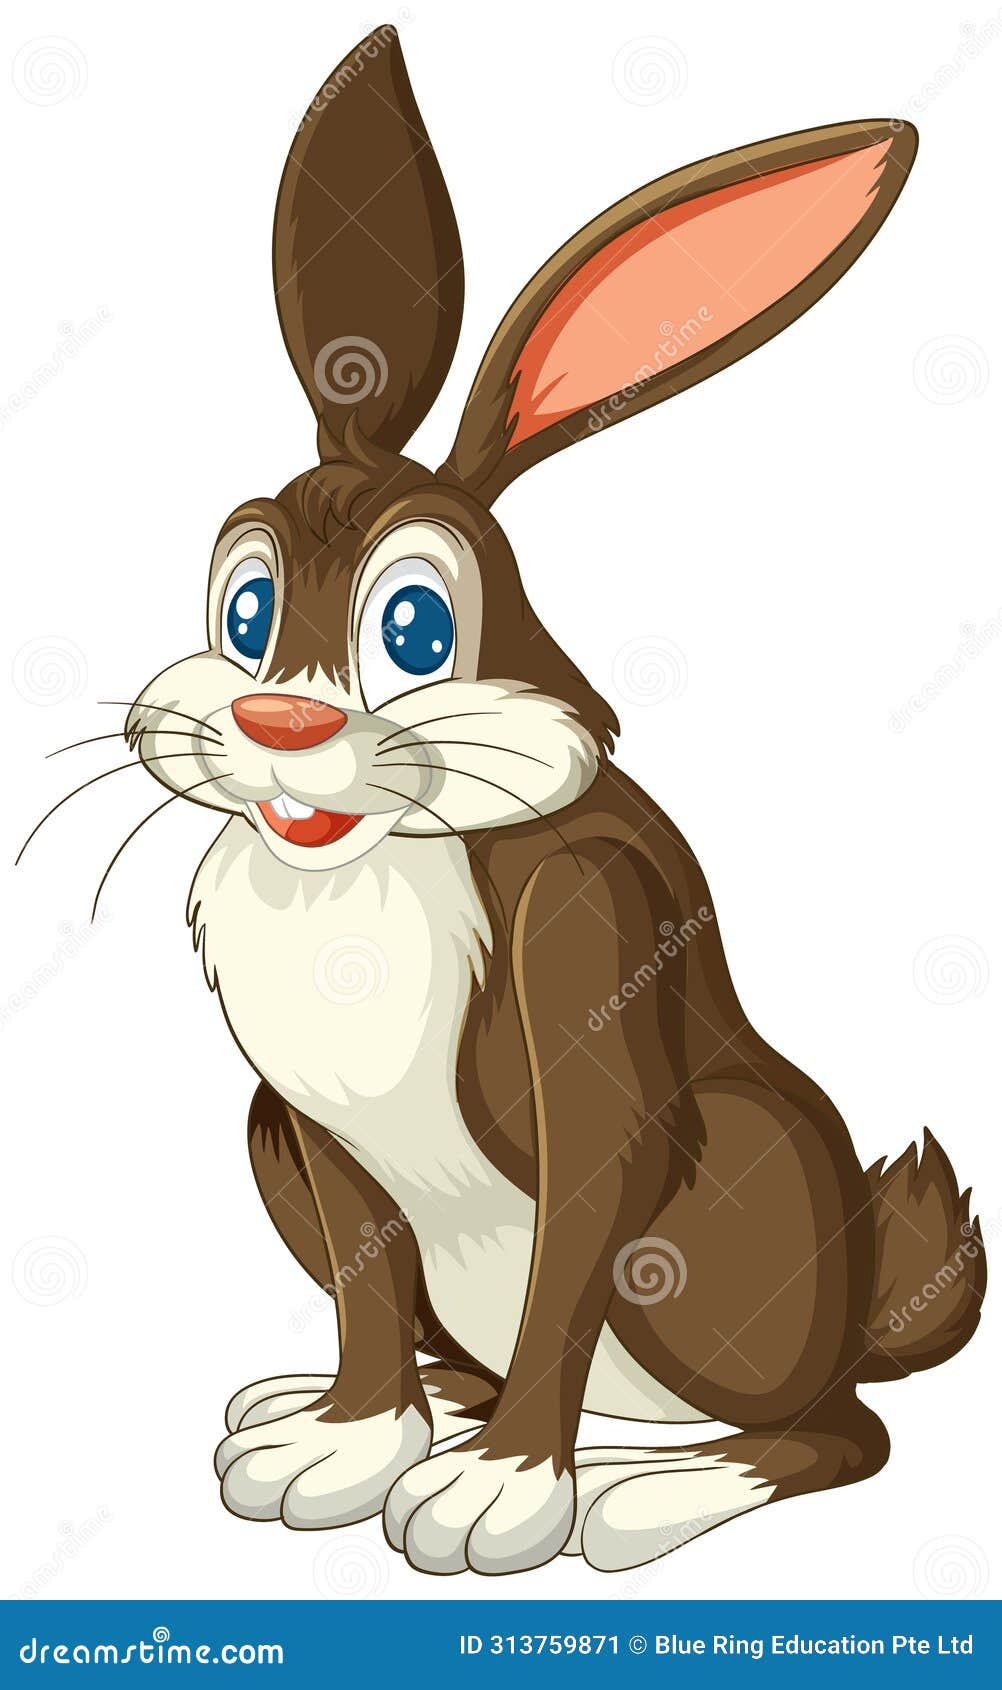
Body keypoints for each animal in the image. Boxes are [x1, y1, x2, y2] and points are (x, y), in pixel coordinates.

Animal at [61, 27, 985, 1574]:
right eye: (245, 610)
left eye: (417, 628)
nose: (277, 719)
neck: (376, 855)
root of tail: (868, 1309)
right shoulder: (308, 1118)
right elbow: (367, 1279)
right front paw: (344, 1442)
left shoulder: (582, 959)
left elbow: (573, 1245)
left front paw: (496, 1492)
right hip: (263, 1134)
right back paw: (387, 1398)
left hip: (741, 1208)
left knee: (836, 1430)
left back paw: (642, 1486)